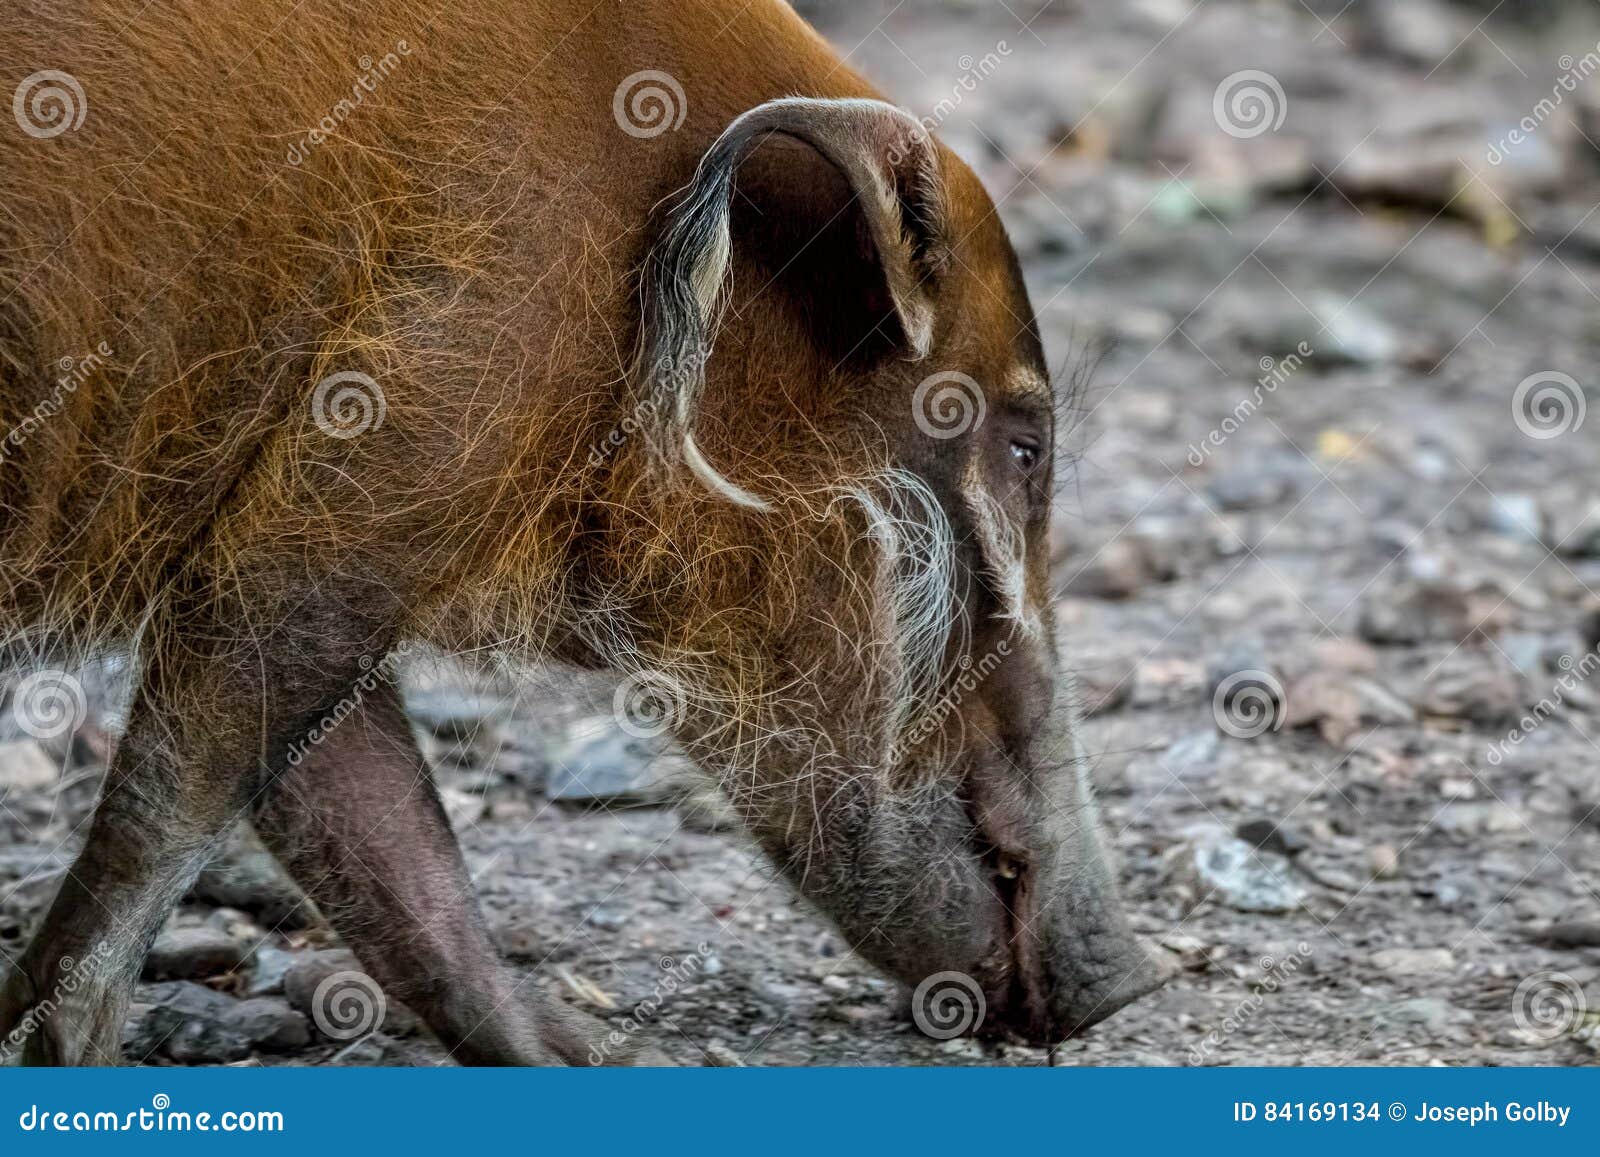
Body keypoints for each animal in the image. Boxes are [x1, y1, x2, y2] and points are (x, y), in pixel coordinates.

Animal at [0, 0, 1165, 1064]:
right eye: (1024, 447)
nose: (1134, 979)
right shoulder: (364, 482)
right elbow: (178, 807)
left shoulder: (316, 529)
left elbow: (368, 816)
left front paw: (599, 1055)